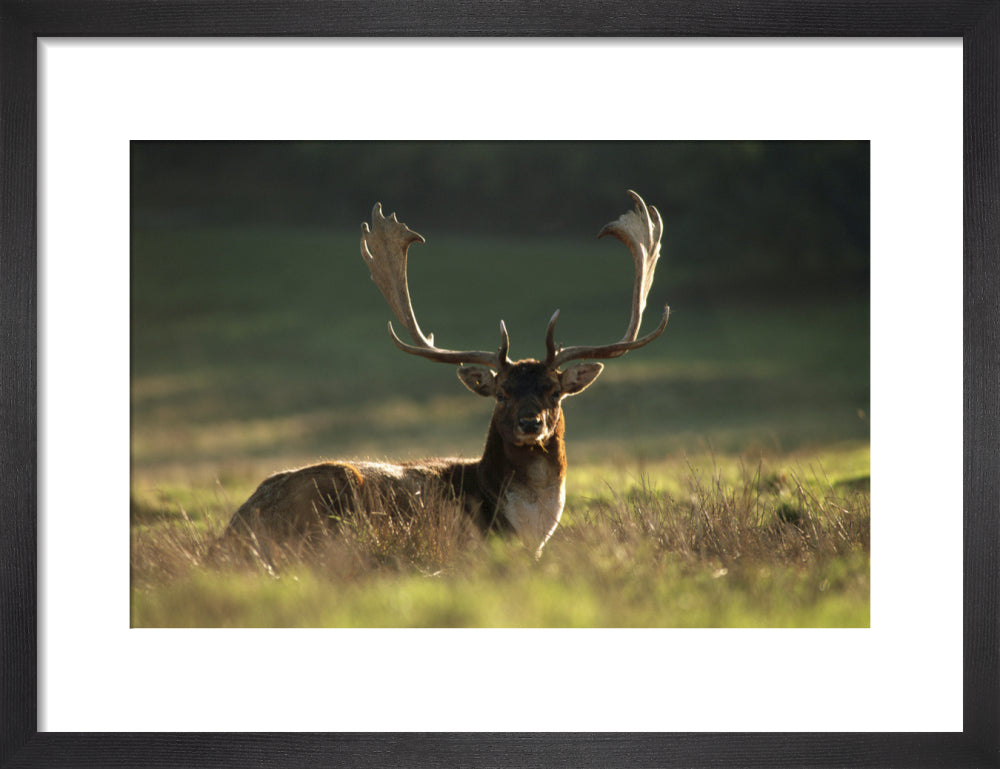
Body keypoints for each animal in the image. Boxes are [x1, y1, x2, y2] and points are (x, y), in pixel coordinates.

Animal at [224, 190, 669, 556]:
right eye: (502, 392)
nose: (531, 423)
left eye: (553, 390)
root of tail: (233, 529)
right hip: (334, 496)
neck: (530, 534)